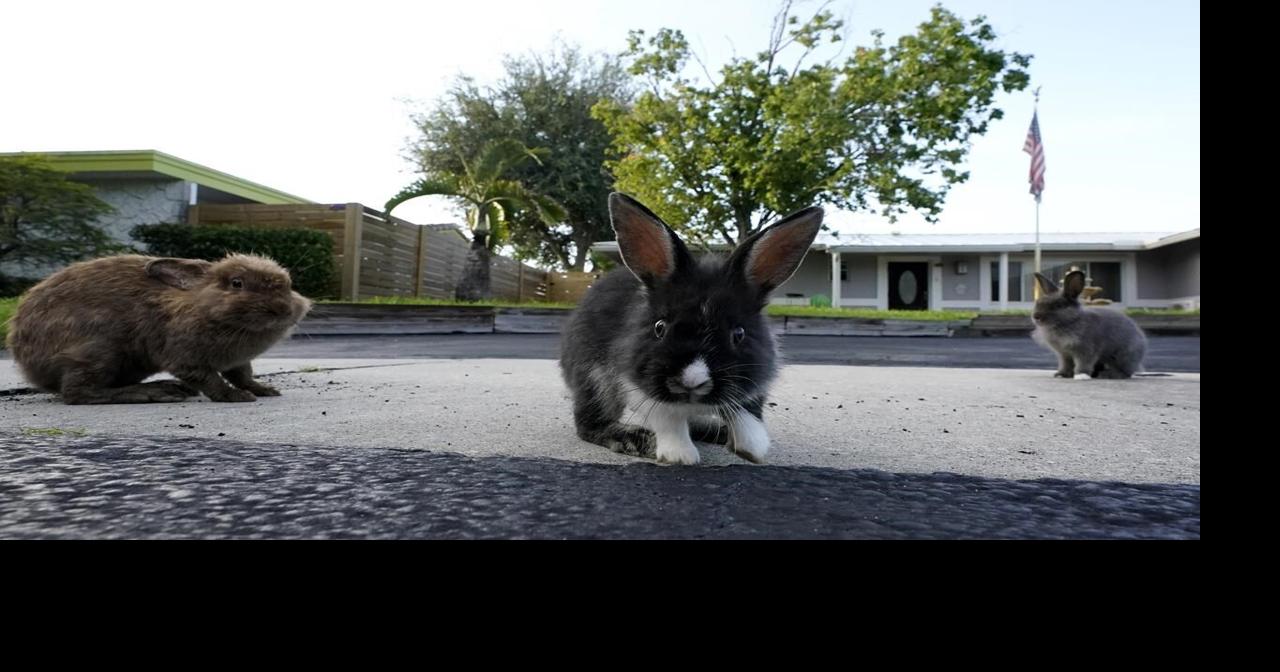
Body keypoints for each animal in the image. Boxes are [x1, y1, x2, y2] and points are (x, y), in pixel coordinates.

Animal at [6, 253, 312, 404]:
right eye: (237, 283)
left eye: (288, 284)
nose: (281, 310)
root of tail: (29, 366)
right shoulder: (185, 358)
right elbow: (211, 380)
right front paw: (236, 397)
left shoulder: (238, 361)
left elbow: (243, 375)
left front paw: (265, 390)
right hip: (97, 351)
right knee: (77, 393)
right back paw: (156, 393)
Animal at [559, 192, 823, 465]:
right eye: (660, 327)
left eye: (738, 334)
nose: (691, 382)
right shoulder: (635, 381)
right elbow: (668, 417)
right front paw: (679, 455)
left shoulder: (754, 380)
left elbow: (747, 412)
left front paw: (752, 448)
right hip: (594, 381)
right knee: (589, 424)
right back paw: (636, 438)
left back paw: (716, 430)